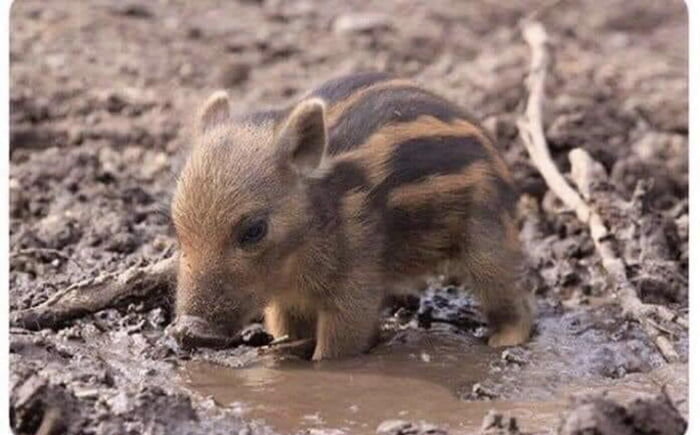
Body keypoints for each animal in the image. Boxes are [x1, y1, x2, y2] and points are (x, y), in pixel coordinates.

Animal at [169, 72, 534, 360]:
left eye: (254, 230)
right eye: (177, 225)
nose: (191, 328)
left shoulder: (356, 281)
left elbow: (338, 344)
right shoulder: (285, 301)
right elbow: (288, 329)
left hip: (487, 230)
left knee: (506, 287)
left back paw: (503, 341)